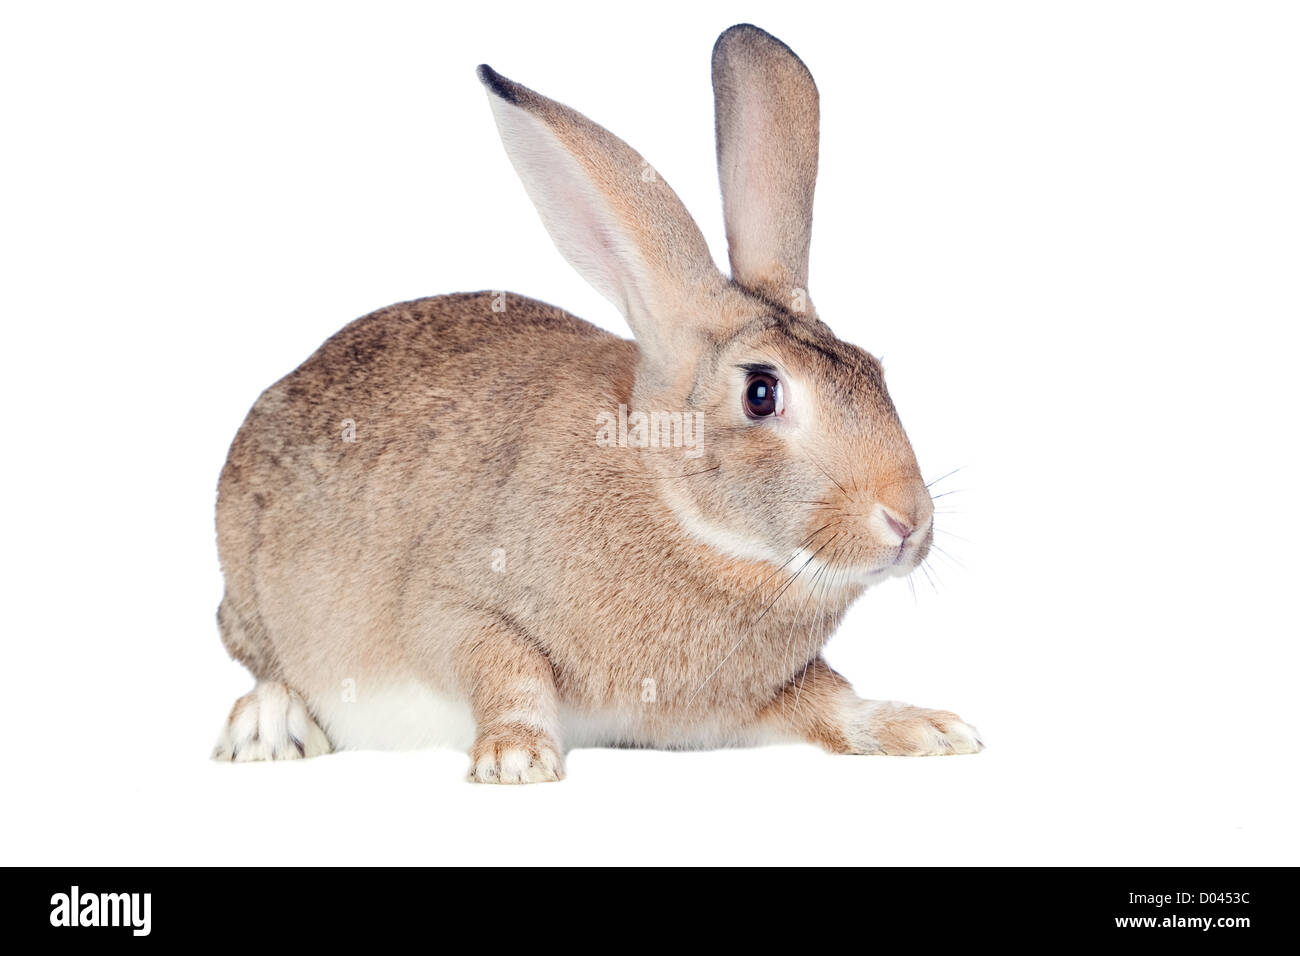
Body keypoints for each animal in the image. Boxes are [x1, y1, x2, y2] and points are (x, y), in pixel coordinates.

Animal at [211, 23, 982, 782]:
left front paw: (929, 730)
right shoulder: (451, 604)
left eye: (875, 372)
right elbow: (501, 661)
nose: (908, 520)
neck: (678, 507)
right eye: (761, 393)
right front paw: (517, 757)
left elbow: (832, 699)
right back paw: (269, 728)